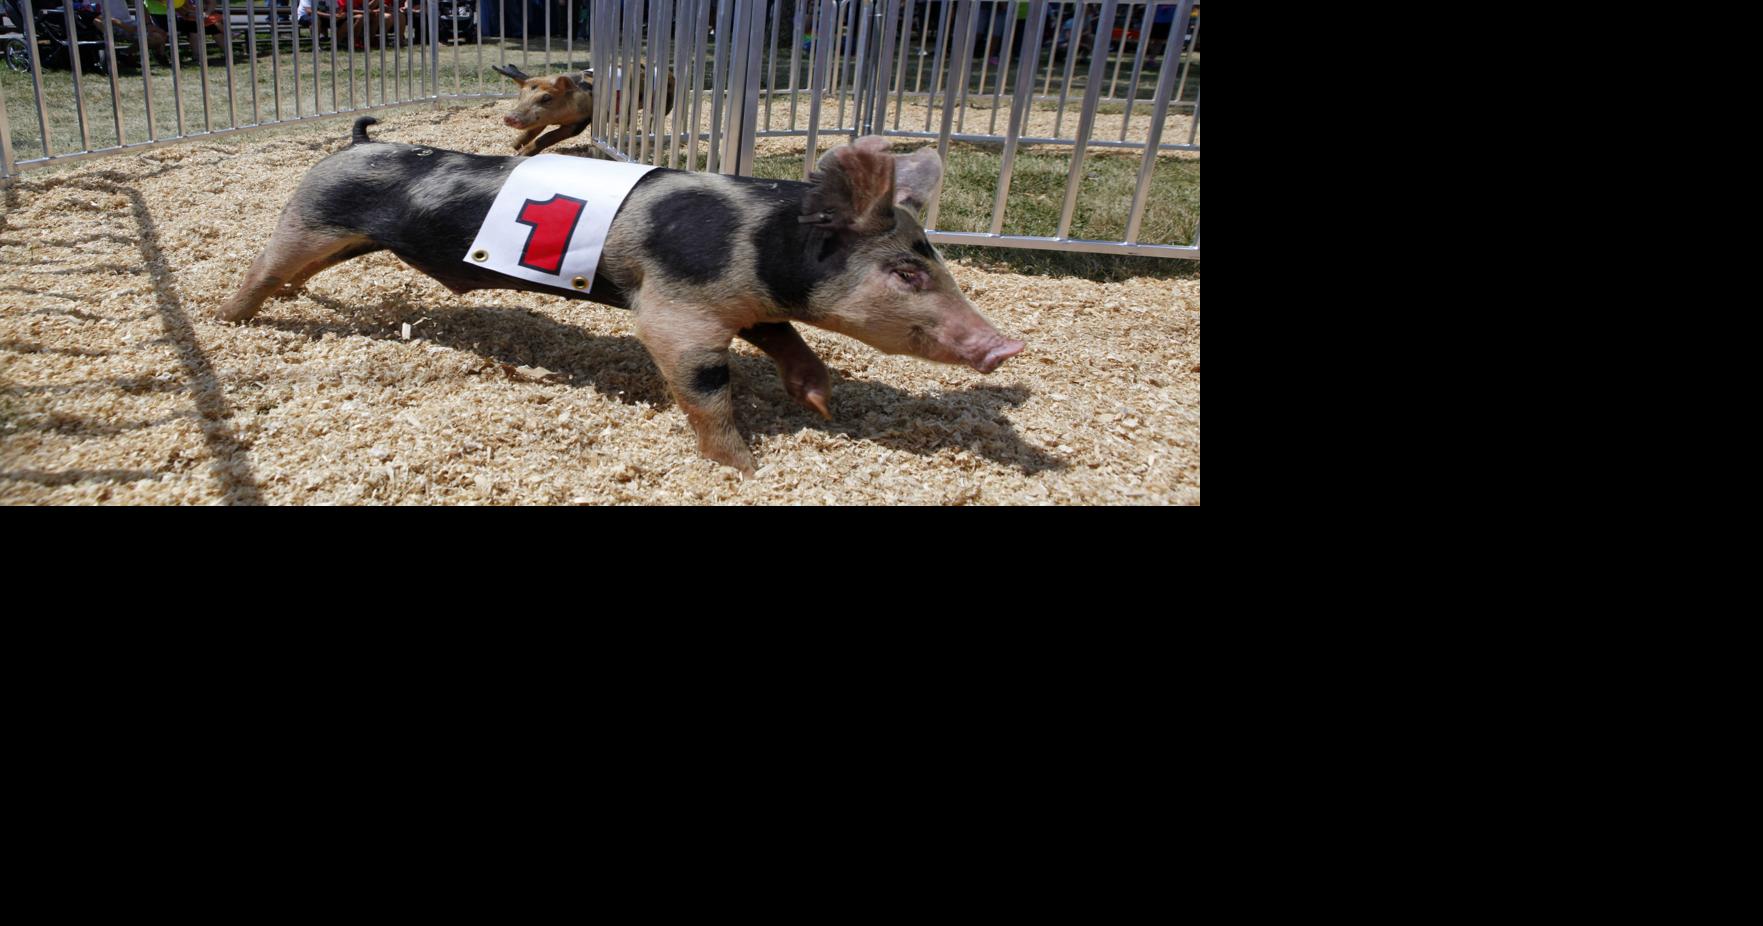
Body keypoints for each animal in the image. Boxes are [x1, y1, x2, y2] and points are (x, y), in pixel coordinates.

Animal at [217, 118, 1025, 475]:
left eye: (935, 263)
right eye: (907, 274)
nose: (1008, 344)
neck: (764, 247)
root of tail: (352, 143)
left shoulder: (753, 307)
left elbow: (791, 345)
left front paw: (823, 405)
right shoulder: (676, 309)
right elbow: (704, 386)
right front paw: (744, 469)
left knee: (294, 276)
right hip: (307, 217)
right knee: (260, 267)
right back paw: (231, 322)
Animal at [494, 64, 677, 158]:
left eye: (546, 98)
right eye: (520, 95)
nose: (509, 117)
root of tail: (670, 73)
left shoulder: (580, 122)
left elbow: (547, 137)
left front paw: (521, 155)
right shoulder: (540, 119)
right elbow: (530, 132)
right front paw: (513, 147)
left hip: (665, 102)